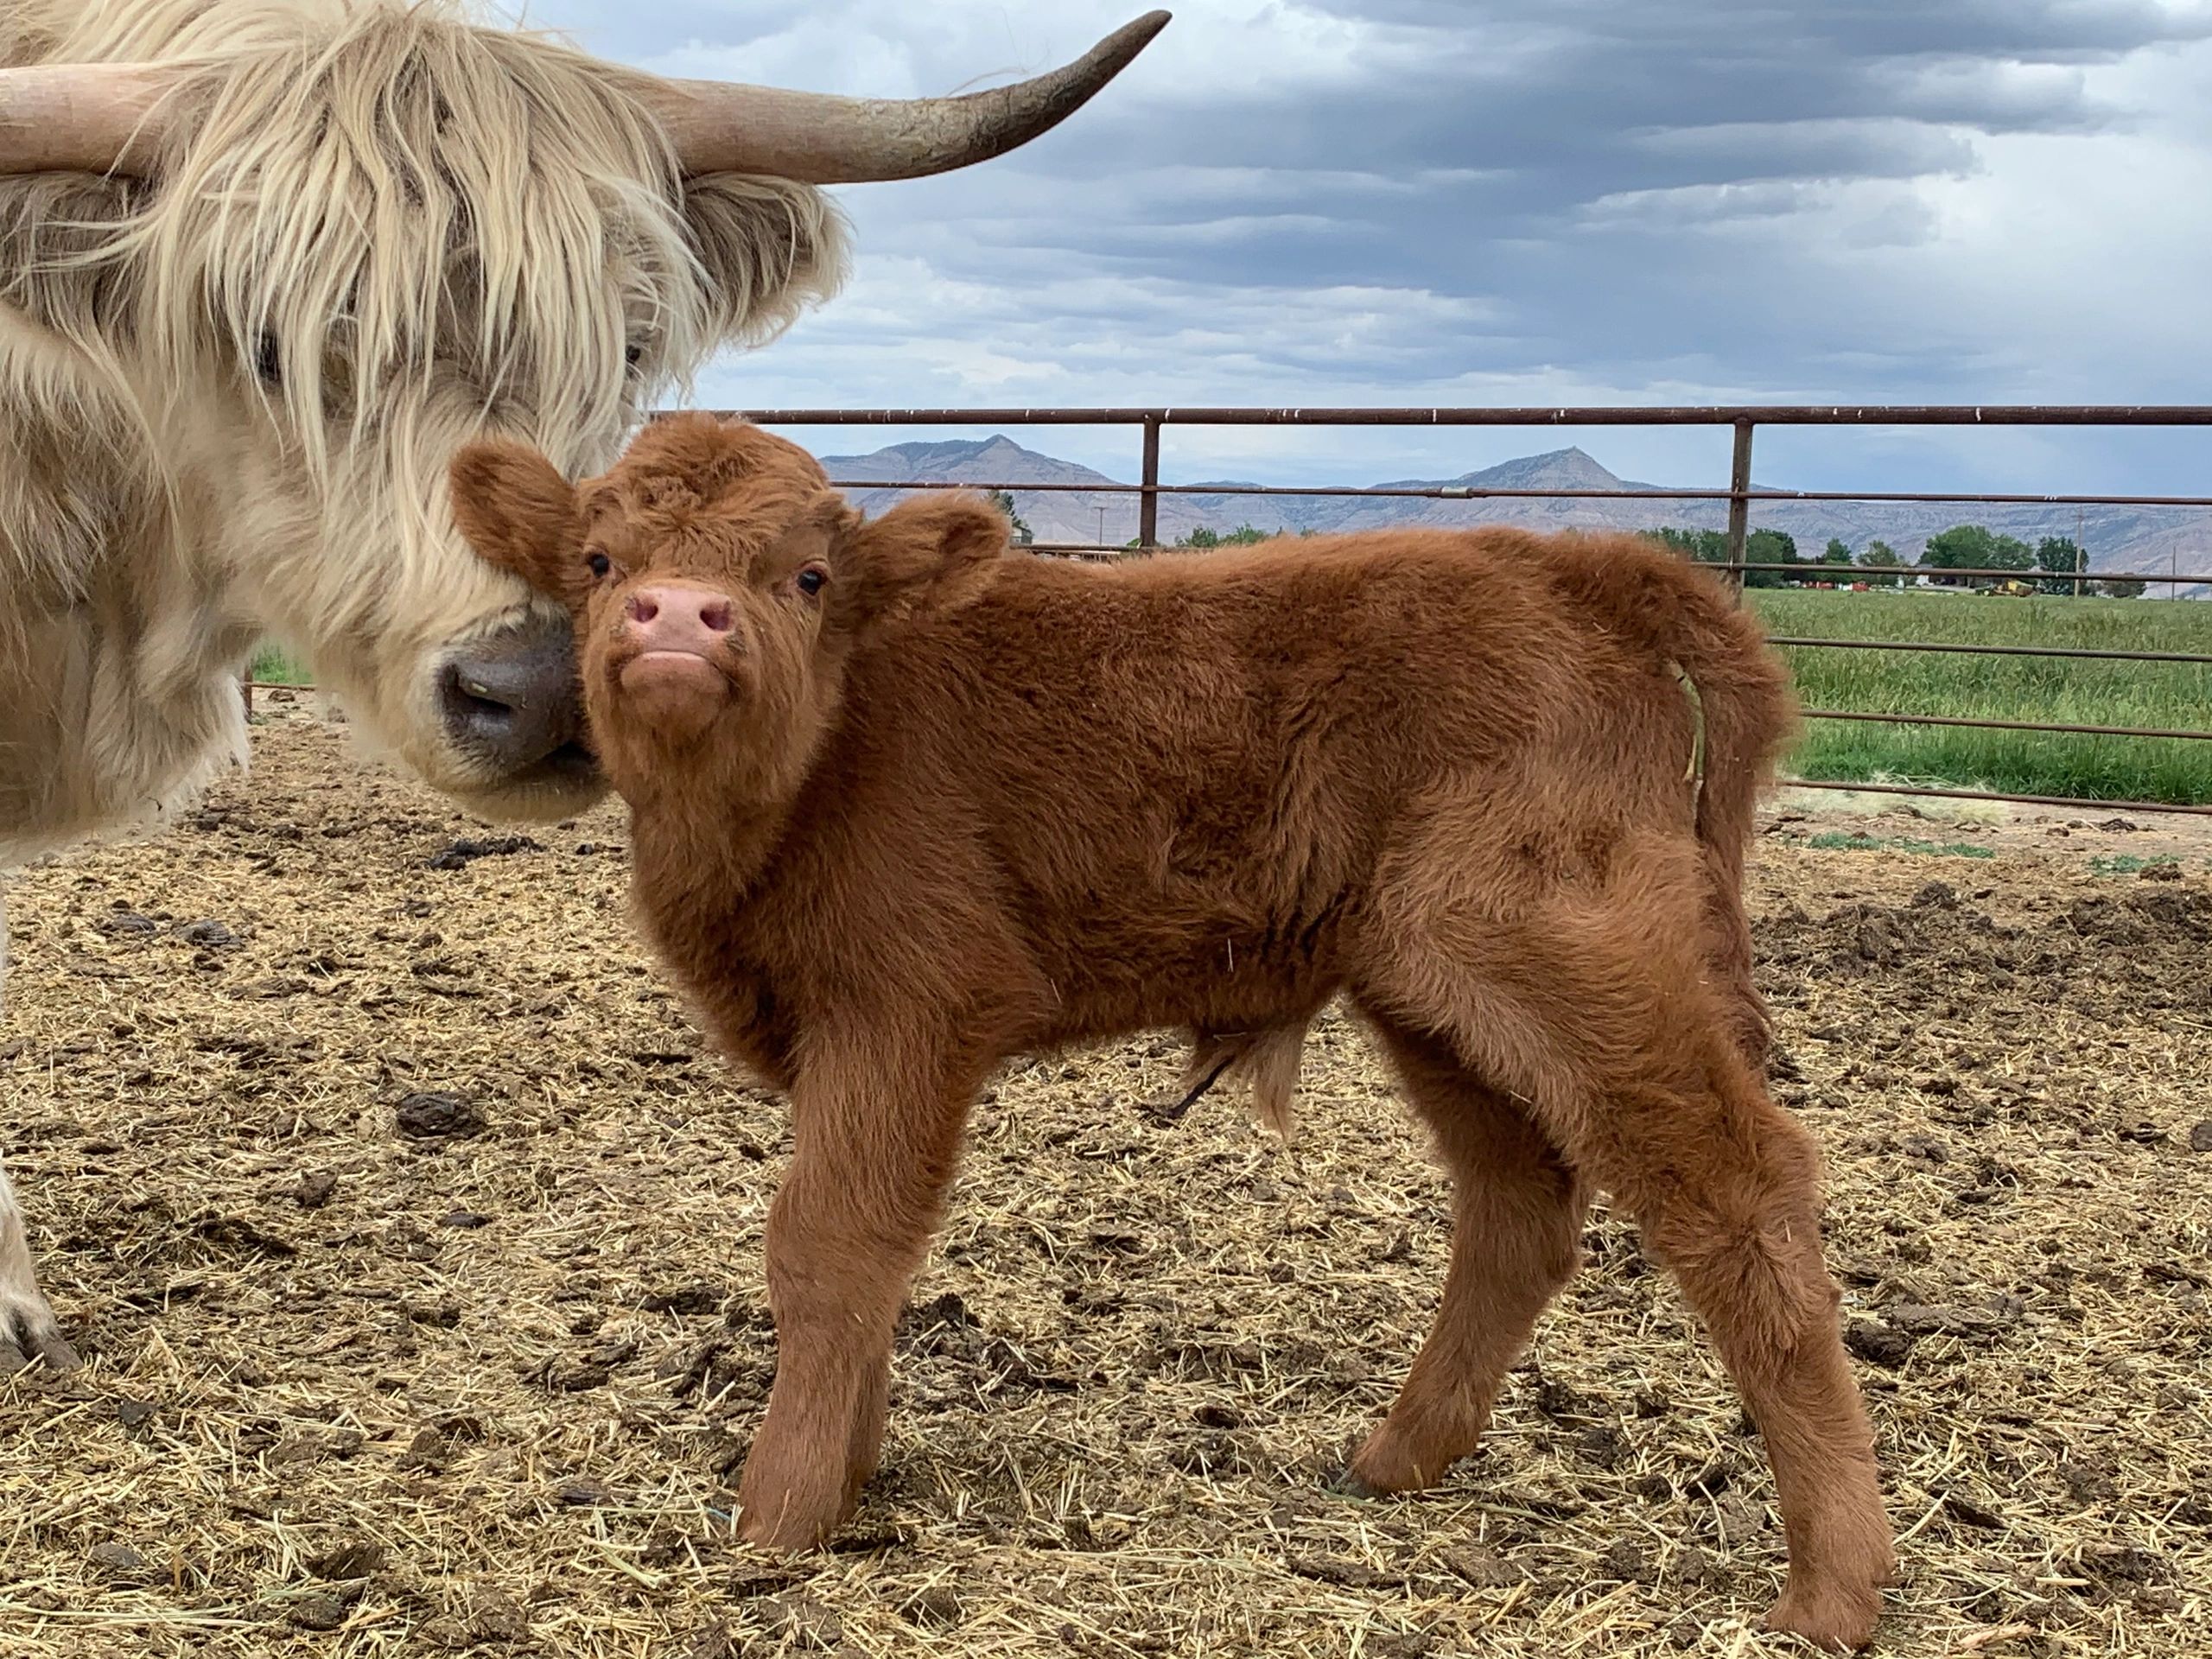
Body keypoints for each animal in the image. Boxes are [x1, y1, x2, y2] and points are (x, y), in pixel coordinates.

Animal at [445, 414, 1896, 1652]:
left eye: (805, 575)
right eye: (598, 559)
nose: (678, 619)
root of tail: (1563, 563)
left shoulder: (902, 1007)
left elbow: (829, 1244)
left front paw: (782, 1511)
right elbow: (875, 1251)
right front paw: (849, 1471)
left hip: (1572, 959)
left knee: (1738, 1189)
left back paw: (1835, 1590)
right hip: (1431, 995)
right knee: (1519, 1206)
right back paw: (1392, 1464)